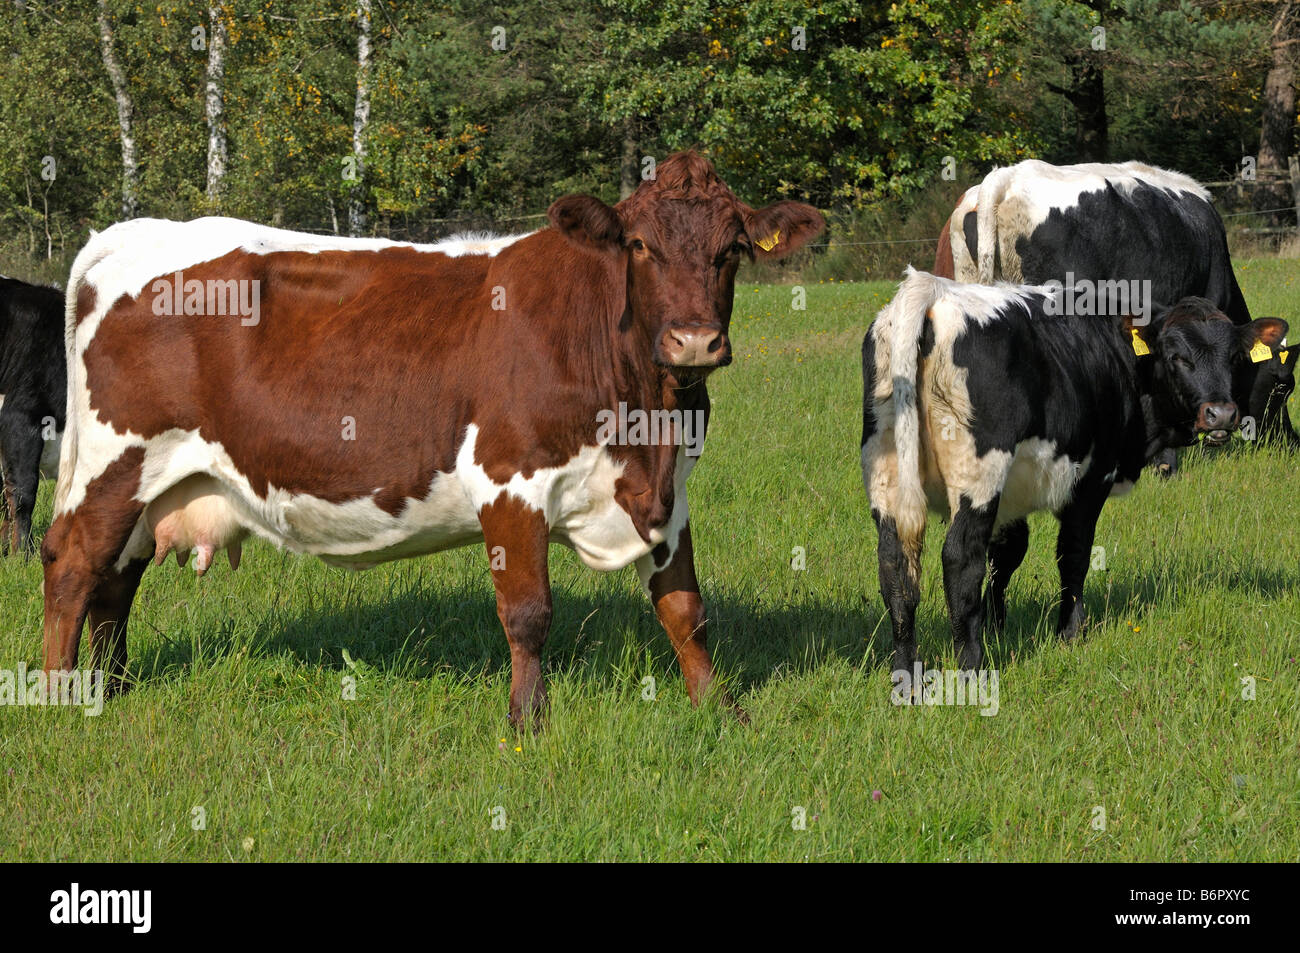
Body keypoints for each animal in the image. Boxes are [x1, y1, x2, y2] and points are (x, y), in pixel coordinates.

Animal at [41, 150, 825, 726]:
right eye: (639, 245)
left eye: (732, 249)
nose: (694, 340)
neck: (646, 424)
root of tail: (132, 233)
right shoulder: (510, 477)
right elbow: (528, 612)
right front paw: (527, 725)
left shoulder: (671, 491)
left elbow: (685, 608)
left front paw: (721, 712)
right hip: (117, 460)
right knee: (74, 564)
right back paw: (56, 698)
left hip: (154, 480)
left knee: (117, 576)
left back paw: (110, 690)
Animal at [861, 268, 1287, 676]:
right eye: (1176, 356)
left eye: (1235, 357)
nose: (1221, 414)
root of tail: (932, 289)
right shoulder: (1092, 480)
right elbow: (1074, 553)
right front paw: (1069, 631)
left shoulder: (1012, 496)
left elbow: (1008, 555)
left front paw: (998, 626)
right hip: (978, 476)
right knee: (960, 560)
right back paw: (971, 665)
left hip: (887, 474)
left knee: (894, 566)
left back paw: (905, 672)